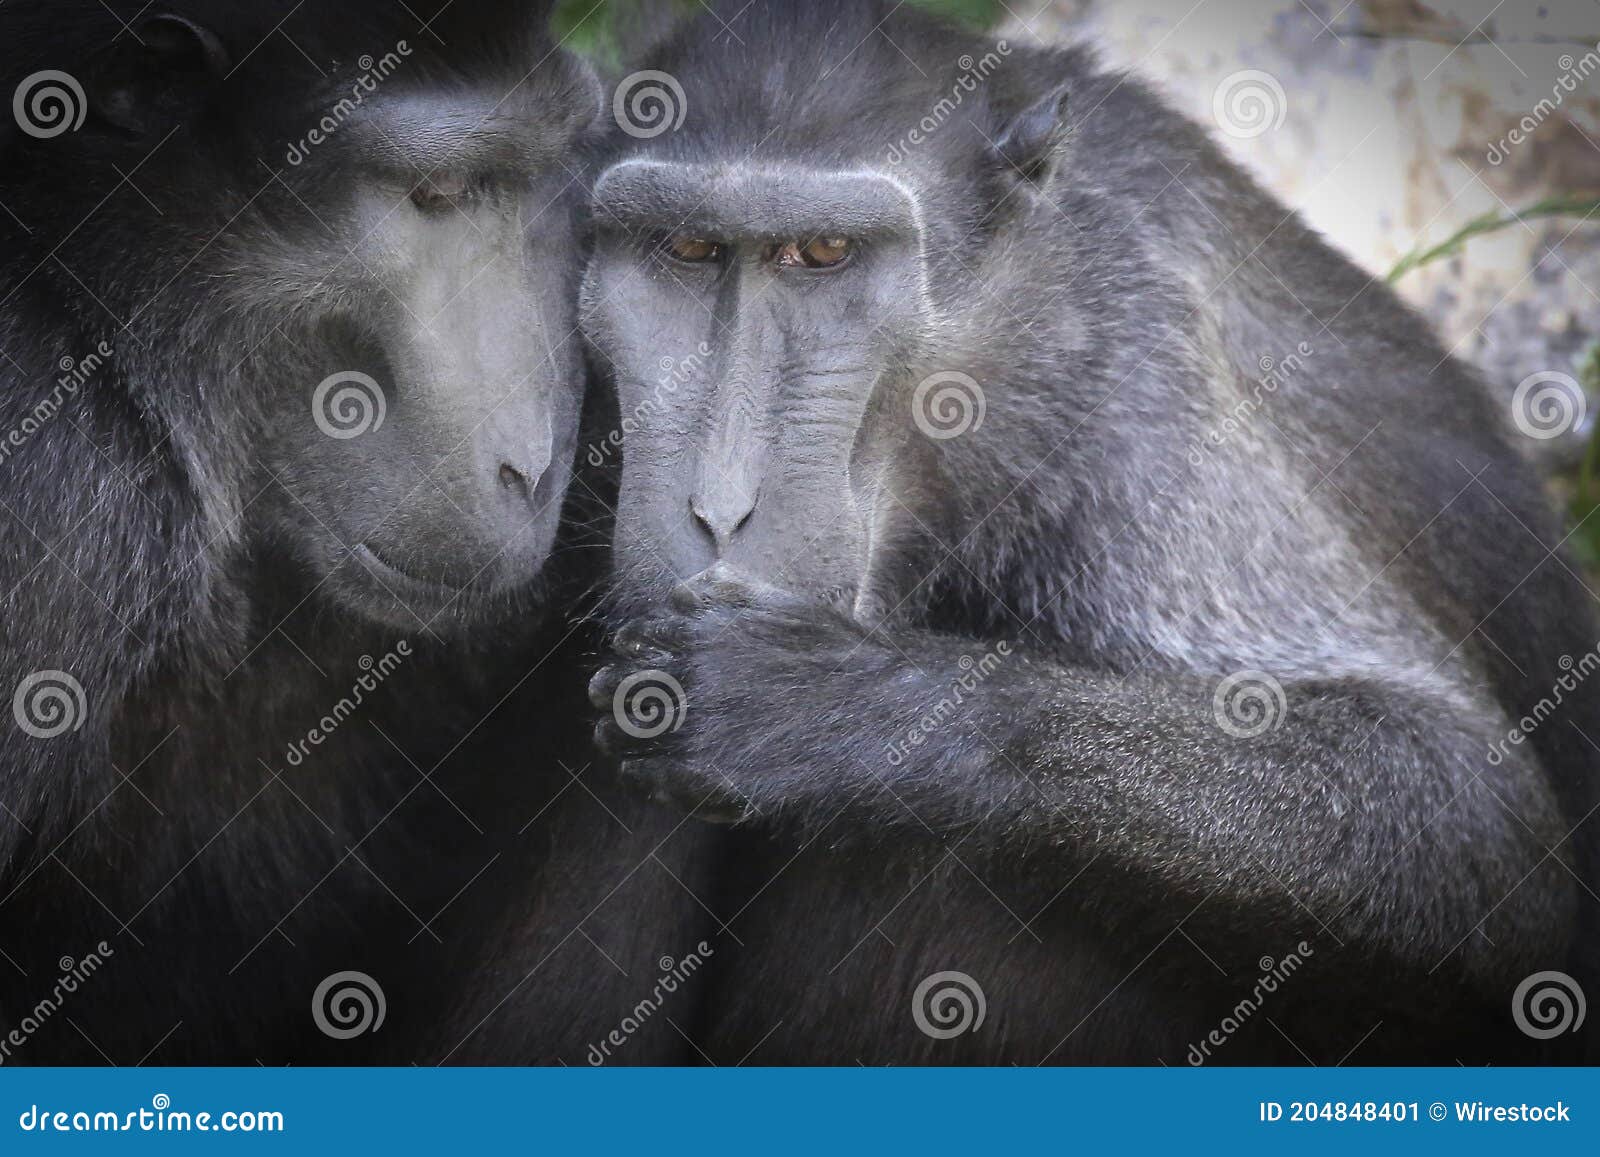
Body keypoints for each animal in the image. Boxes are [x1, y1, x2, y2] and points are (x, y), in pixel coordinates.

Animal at [579, 0, 1600, 1064]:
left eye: (821, 256)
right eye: (684, 250)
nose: (718, 509)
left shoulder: (1135, 383)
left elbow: (1468, 798)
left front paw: (845, 713)